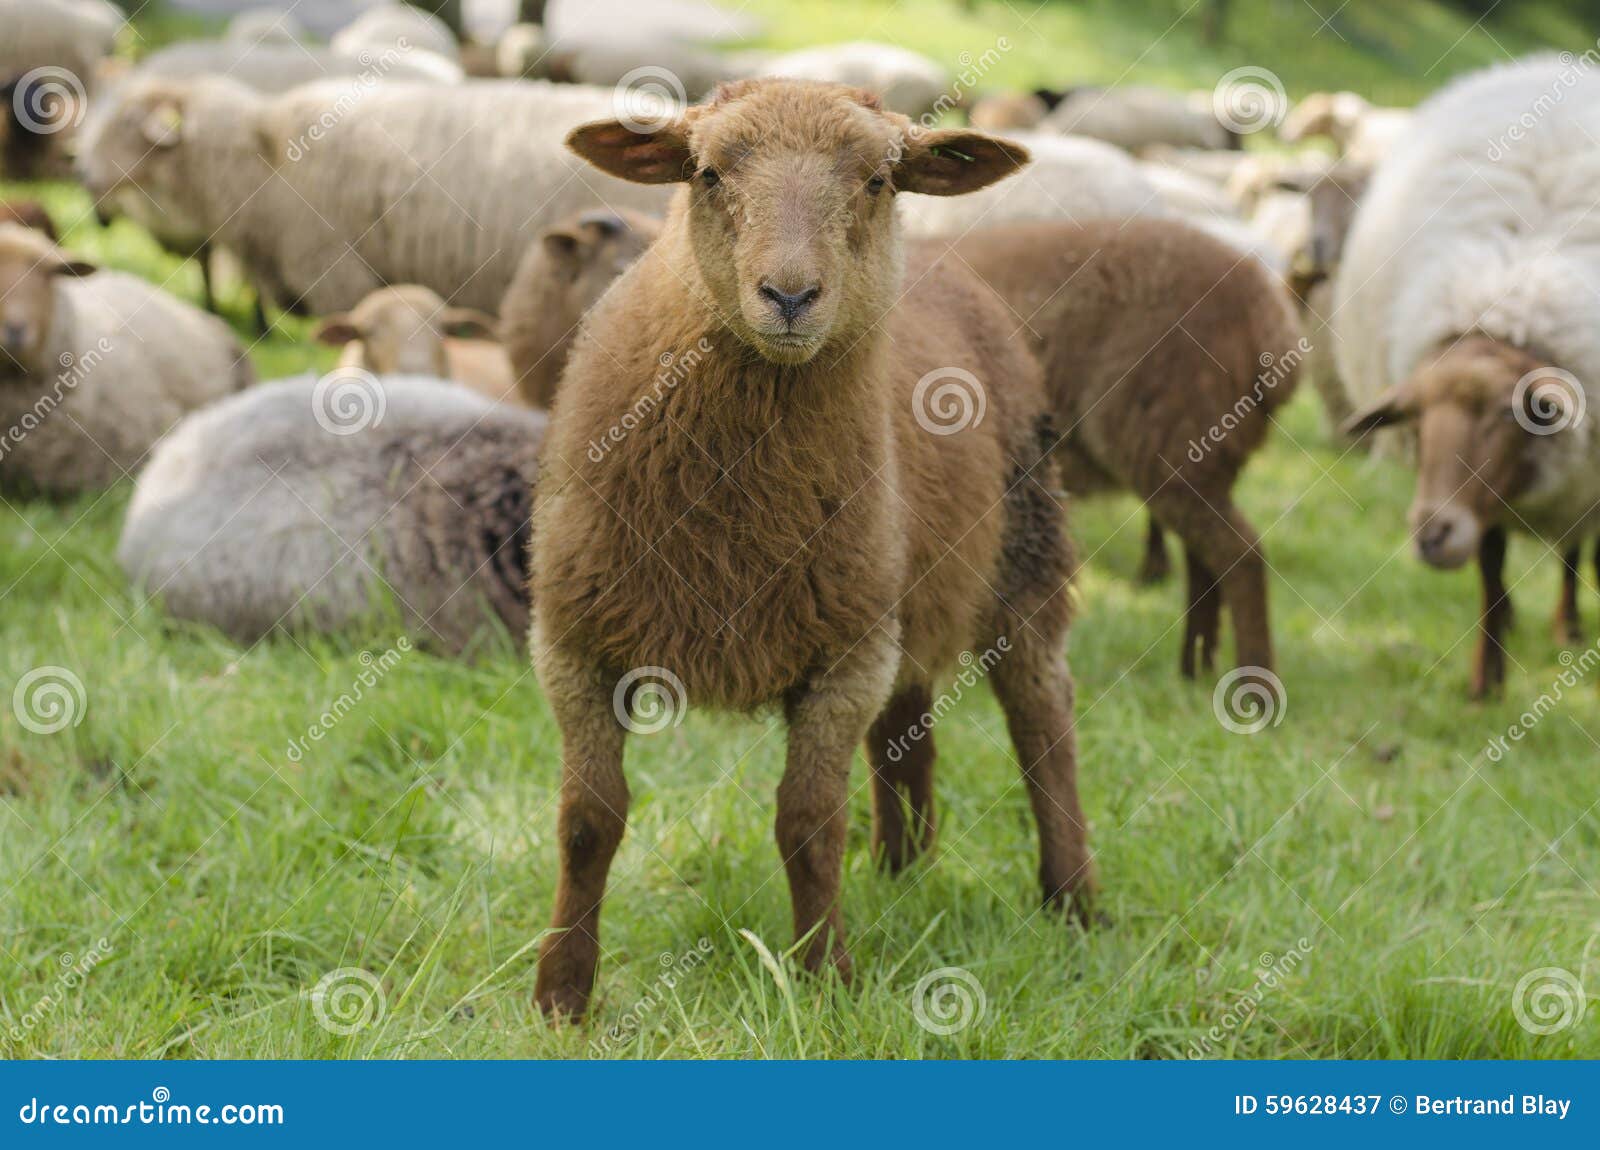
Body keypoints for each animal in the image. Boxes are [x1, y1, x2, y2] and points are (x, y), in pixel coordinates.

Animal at [531, 79, 1093, 1018]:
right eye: (708, 172)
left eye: (877, 181)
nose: (789, 296)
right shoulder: (573, 640)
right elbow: (587, 821)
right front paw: (560, 997)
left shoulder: (846, 657)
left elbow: (808, 821)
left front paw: (824, 980)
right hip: (897, 584)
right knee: (909, 725)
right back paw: (904, 872)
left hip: (1023, 545)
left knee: (1041, 712)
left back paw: (1074, 902)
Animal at [953, 218, 1301, 681]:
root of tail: (1269, 318)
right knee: (1206, 559)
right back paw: (1195, 670)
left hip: (1174, 443)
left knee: (1241, 555)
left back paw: (1252, 685)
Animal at [1336, 55, 1600, 696]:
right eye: (1416, 417)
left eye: (1516, 411)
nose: (1432, 534)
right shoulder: (1486, 501)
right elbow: (1490, 567)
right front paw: (1488, 682)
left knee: (1574, 551)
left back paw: (1568, 625)